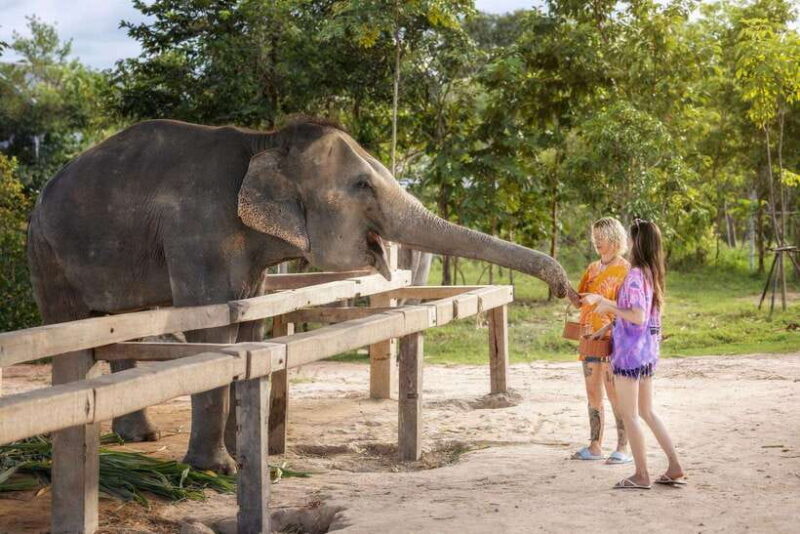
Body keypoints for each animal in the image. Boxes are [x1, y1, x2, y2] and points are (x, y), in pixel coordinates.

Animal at [27, 118, 573, 473]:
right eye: (362, 185)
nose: (563, 287)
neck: (263, 140)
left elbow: (249, 323)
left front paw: (244, 455)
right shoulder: (198, 229)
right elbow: (214, 330)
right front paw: (217, 470)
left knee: (118, 323)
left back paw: (140, 436)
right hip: (47, 252)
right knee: (71, 331)